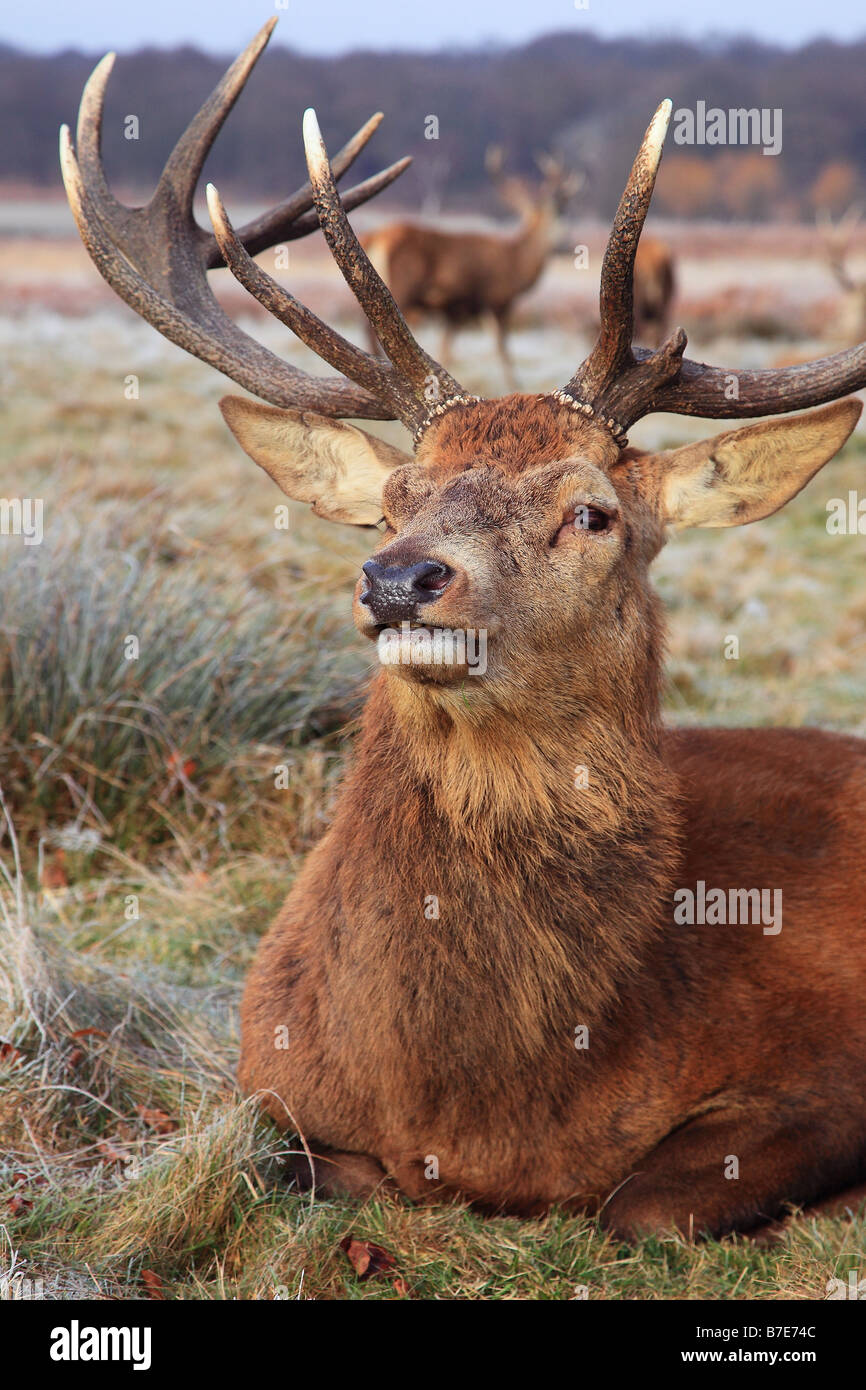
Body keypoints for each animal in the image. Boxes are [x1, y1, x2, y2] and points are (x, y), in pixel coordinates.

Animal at [362, 148, 580, 391]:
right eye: (560, 219)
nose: (568, 244)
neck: (516, 266)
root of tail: (375, 237)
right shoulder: (496, 301)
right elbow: (502, 349)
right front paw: (515, 386)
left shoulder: (457, 309)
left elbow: (446, 348)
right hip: (403, 285)